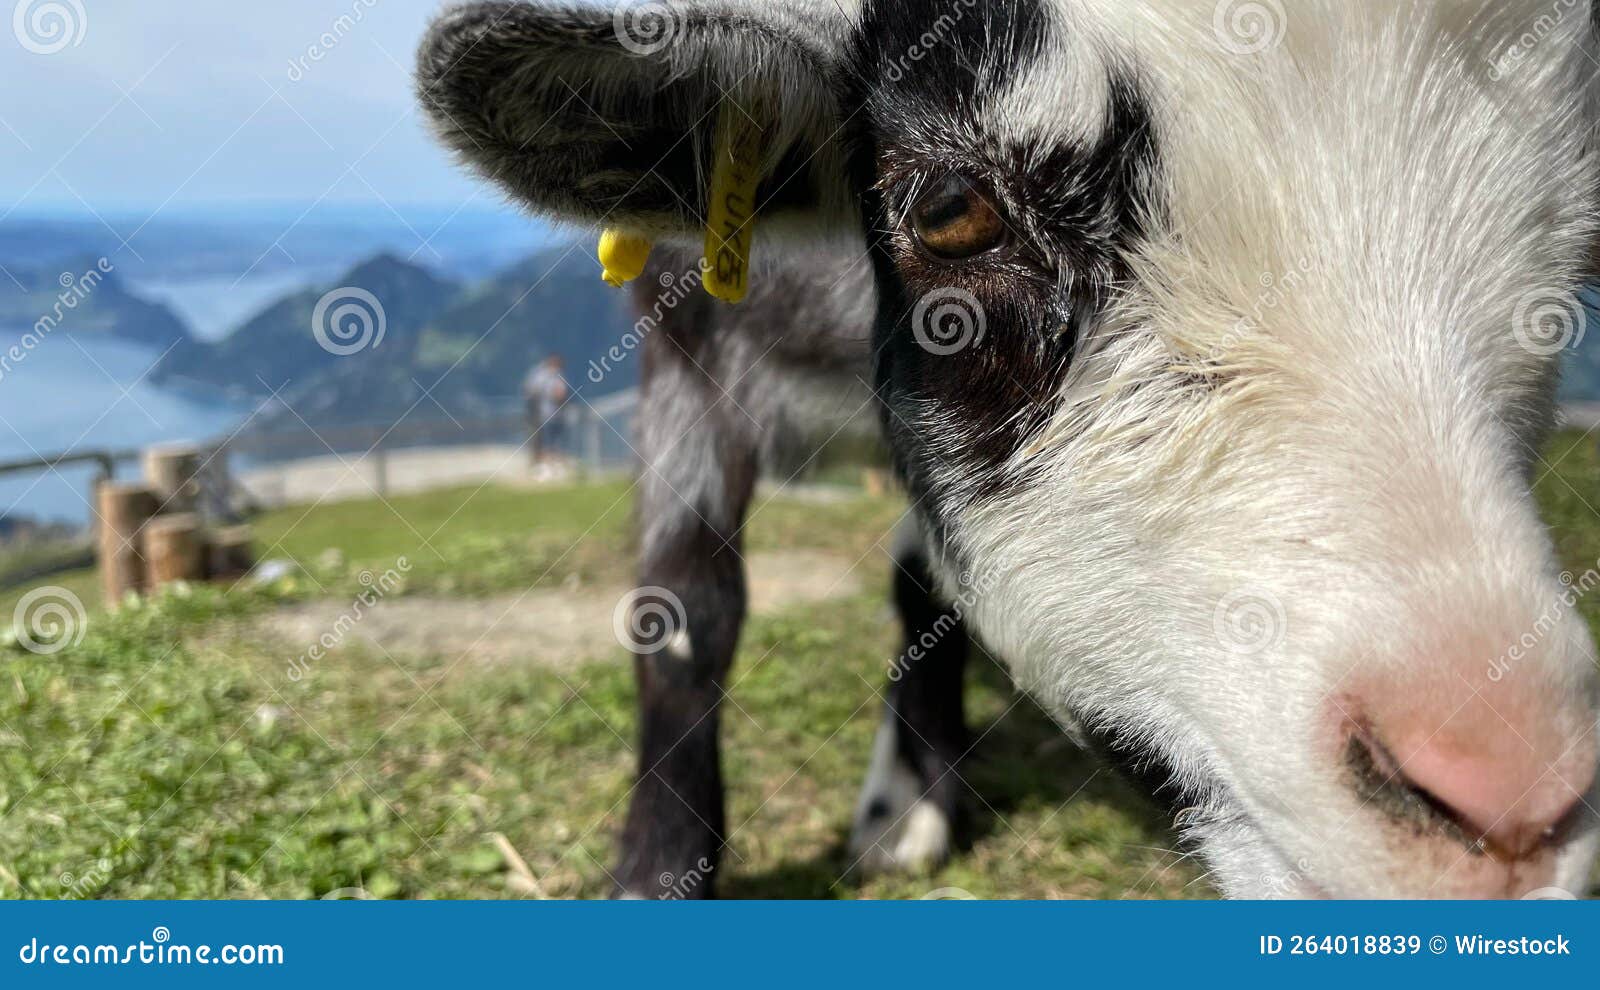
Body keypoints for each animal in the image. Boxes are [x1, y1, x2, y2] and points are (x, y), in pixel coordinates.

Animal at [418, 0, 1600, 898]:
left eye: (1576, 268)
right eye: (950, 208)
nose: (1511, 804)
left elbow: (920, 581)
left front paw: (912, 799)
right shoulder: (682, 327)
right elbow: (684, 609)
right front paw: (658, 872)